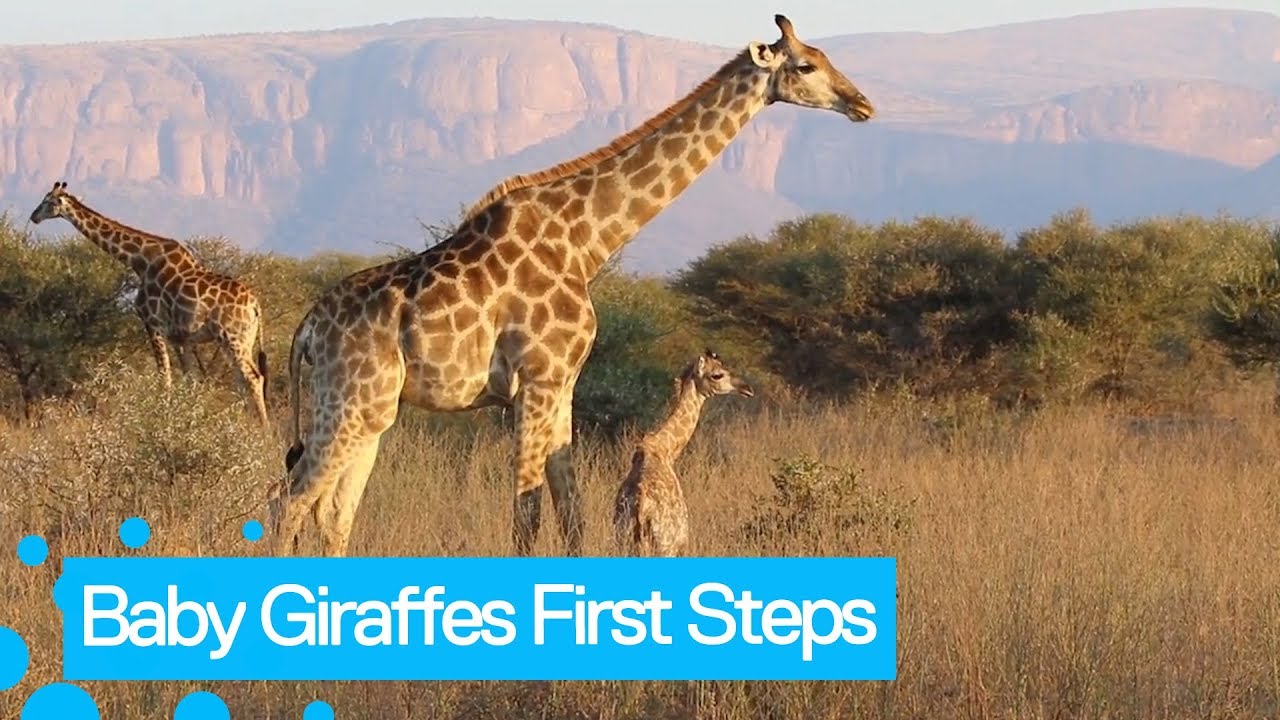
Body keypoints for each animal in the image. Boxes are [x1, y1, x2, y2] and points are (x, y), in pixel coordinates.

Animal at [27, 181, 271, 427]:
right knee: (243, 379)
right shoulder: (180, 337)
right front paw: (189, 418)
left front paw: (165, 420)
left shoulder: (153, 322)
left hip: (233, 338)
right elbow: (189, 381)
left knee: (253, 377)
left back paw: (264, 430)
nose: (33, 216)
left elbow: (165, 378)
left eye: (47, 201)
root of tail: (255, 306)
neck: (139, 260)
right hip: (243, 340)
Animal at [613, 350, 754, 558]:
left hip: (622, 541)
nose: (747, 388)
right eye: (717, 375)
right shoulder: (682, 542)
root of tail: (641, 508)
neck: (665, 449)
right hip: (665, 545)